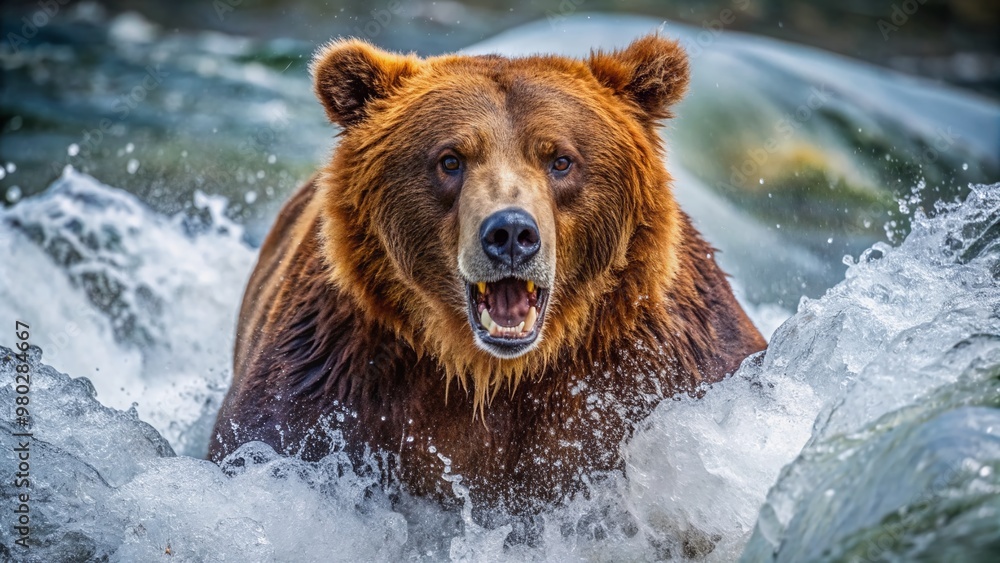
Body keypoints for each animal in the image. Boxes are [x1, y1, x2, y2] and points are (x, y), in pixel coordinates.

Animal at [208, 34, 766, 531]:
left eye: (560, 159)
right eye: (450, 159)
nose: (512, 233)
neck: (492, 374)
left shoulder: (656, 368)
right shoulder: (334, 377)